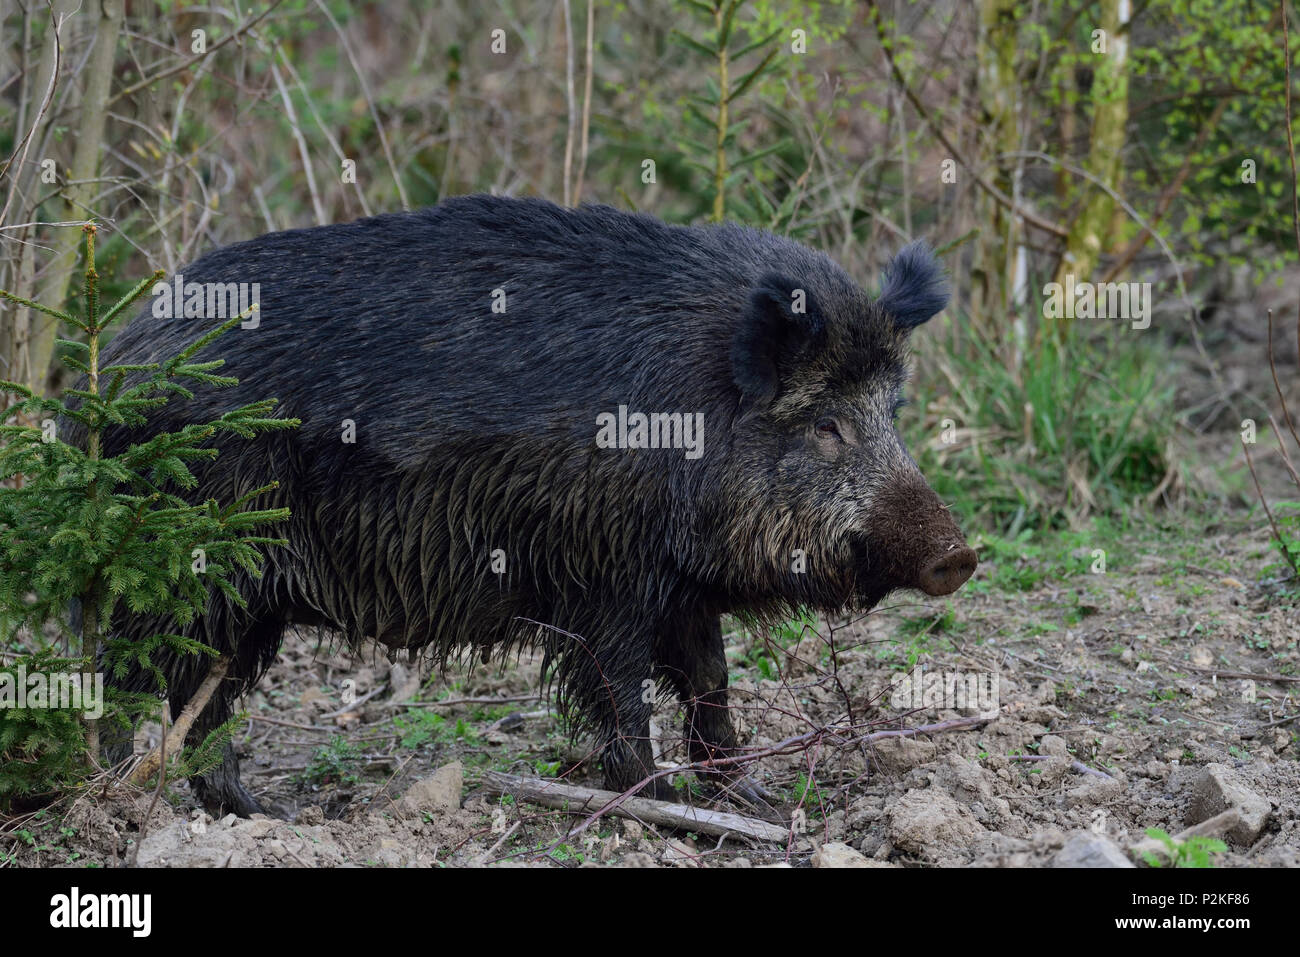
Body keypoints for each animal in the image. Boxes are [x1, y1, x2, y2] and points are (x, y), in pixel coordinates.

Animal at [98, 195, 976, 815]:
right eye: (826, 423)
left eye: (892, 411)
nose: (959, 554)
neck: (691, 416)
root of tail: (112, 363)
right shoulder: (605, 579)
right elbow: (622, 691)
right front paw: (656, 798)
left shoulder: (681, 588)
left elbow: (711, 682)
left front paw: (749, 798)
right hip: (195, 564)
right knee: (134, 676)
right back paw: (137, 798)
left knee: (192, 696)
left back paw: (245, 809)